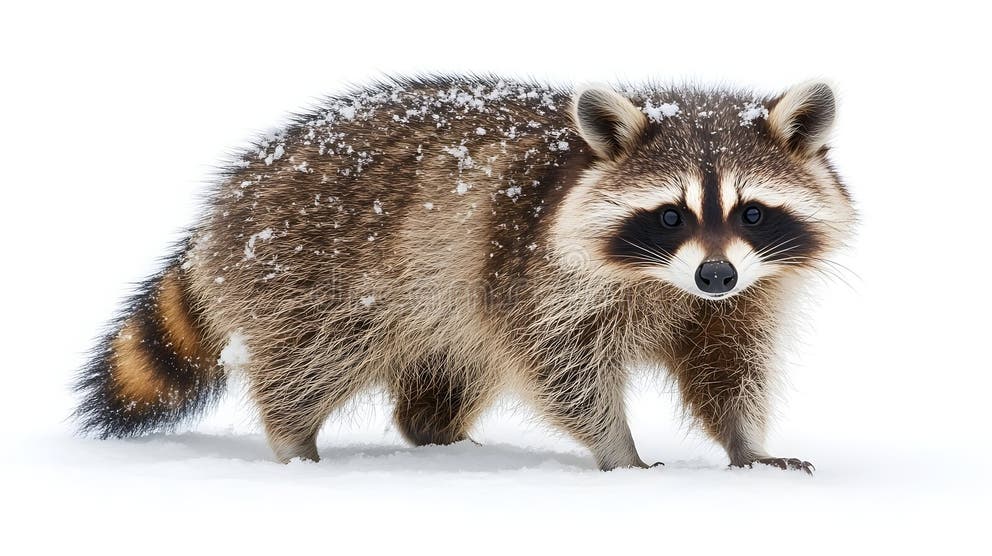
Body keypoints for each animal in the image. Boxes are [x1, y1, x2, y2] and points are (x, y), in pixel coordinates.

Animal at [75, 76, 855, 473]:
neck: (669, 283)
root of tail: (234, 191)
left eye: (752, 212)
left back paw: (437, 433)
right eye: (670, 216)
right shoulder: (534, 269)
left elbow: (727, 365)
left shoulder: (748, 293)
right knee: (312, 353)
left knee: (453, 365)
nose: (716, 275)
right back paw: (295, 437)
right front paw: (617, 448)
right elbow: (563, 364)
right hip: (310, 264)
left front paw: (746, 444)